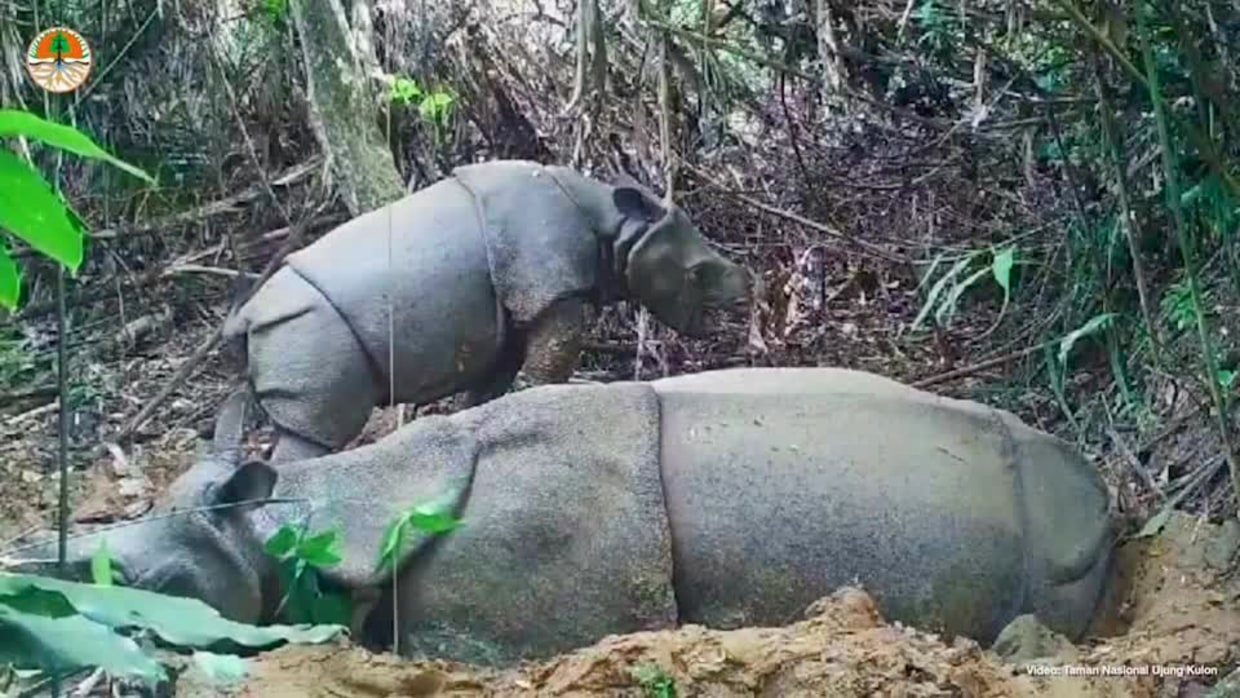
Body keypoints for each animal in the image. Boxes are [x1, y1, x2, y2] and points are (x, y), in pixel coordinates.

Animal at [223, 159, 751, 463]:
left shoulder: (512, 312)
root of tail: (248, 316)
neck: (615, 226)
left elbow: (488, 388)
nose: (749, 286)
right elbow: (547, 366)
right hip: (309, 332)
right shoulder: (553, 291)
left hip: (293, 333)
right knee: (315, 439)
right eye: (699, 273)